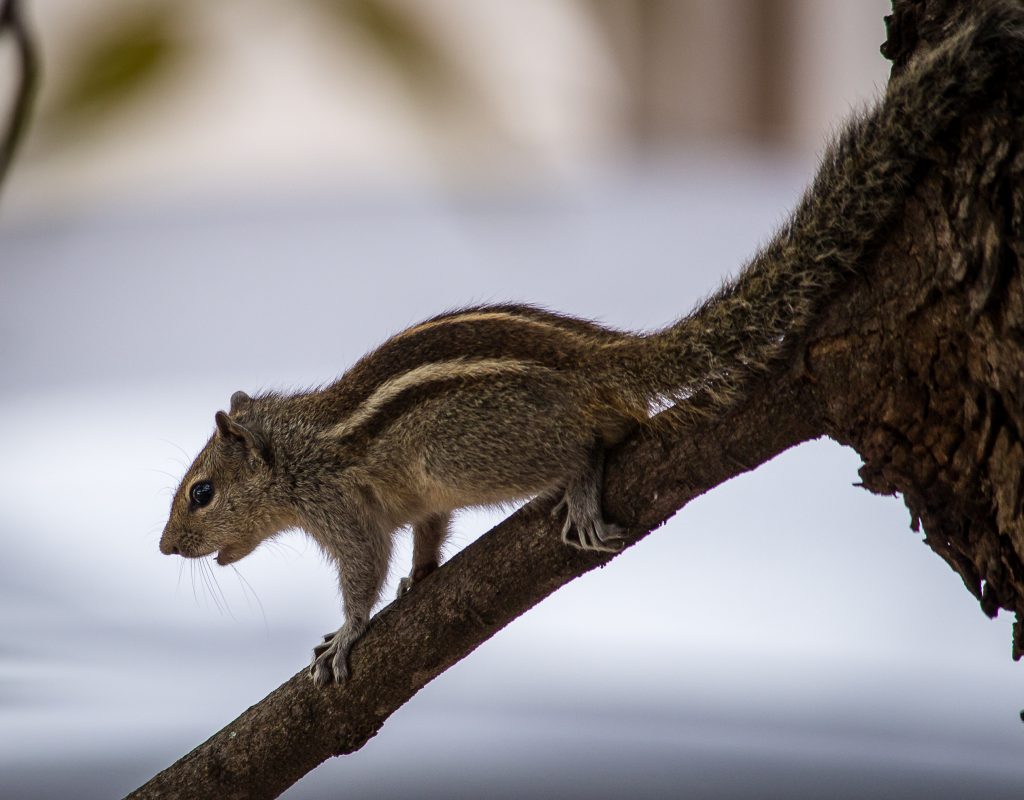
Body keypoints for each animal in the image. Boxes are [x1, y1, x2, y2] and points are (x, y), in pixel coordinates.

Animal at [159, 5, 1024, 687]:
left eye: (201, 492)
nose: (166, 549)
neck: (297, 448)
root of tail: (600, 359)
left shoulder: (342, 507)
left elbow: (362, 574)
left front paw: (345, 636)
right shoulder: (414, 503)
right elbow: (426, 535)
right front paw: (419, 580)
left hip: (479, 441)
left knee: (583, 443)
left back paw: (575, 486)